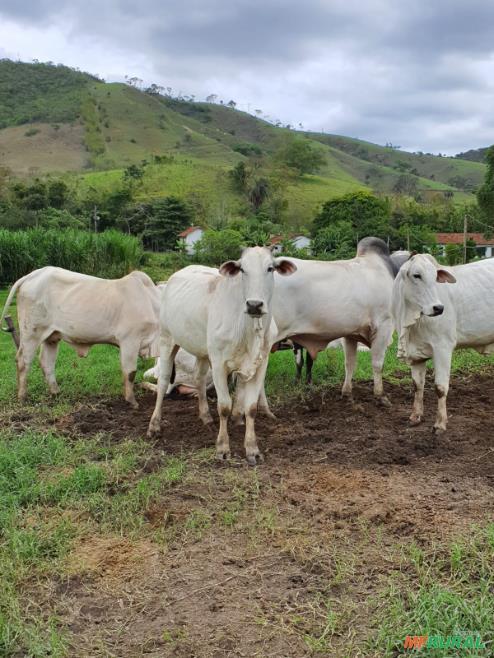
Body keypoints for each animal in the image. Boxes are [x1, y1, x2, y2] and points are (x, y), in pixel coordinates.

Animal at [0, 266, 160, 407]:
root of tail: (32, 275)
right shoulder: (129, 341)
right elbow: (130, 373)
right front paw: (132, 401)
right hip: (31, 333)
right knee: (23, 361)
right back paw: (22, 397)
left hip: (51, 336)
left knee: (46, 362)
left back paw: (56, 392)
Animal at [147, 247, 297, 464]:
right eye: (242, 269)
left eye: (270, 268)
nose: (254, 305)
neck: (248, 331)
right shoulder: (218, 364)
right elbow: (224, 406)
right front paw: (223, 448)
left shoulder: (260, 364)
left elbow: (251, 407)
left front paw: (252, 449)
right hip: (167, 339)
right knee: (164, 381)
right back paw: (154, 425)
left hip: (202, 351)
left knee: (199, 378)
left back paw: (205, 417)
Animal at [267, 238, 409, 406]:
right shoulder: (383, 326)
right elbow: (377, 363)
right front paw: (380, 395)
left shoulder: (351, 334)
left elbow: (349, 363)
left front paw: (346, 393)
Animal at [392, 253, 494, 432]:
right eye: (416, 275)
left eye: (435, 277)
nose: (439, 308)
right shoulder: (416, 354)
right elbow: (417, 385)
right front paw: (415, 416)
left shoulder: (443, 347)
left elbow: (440, 387)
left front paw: (440, 423)